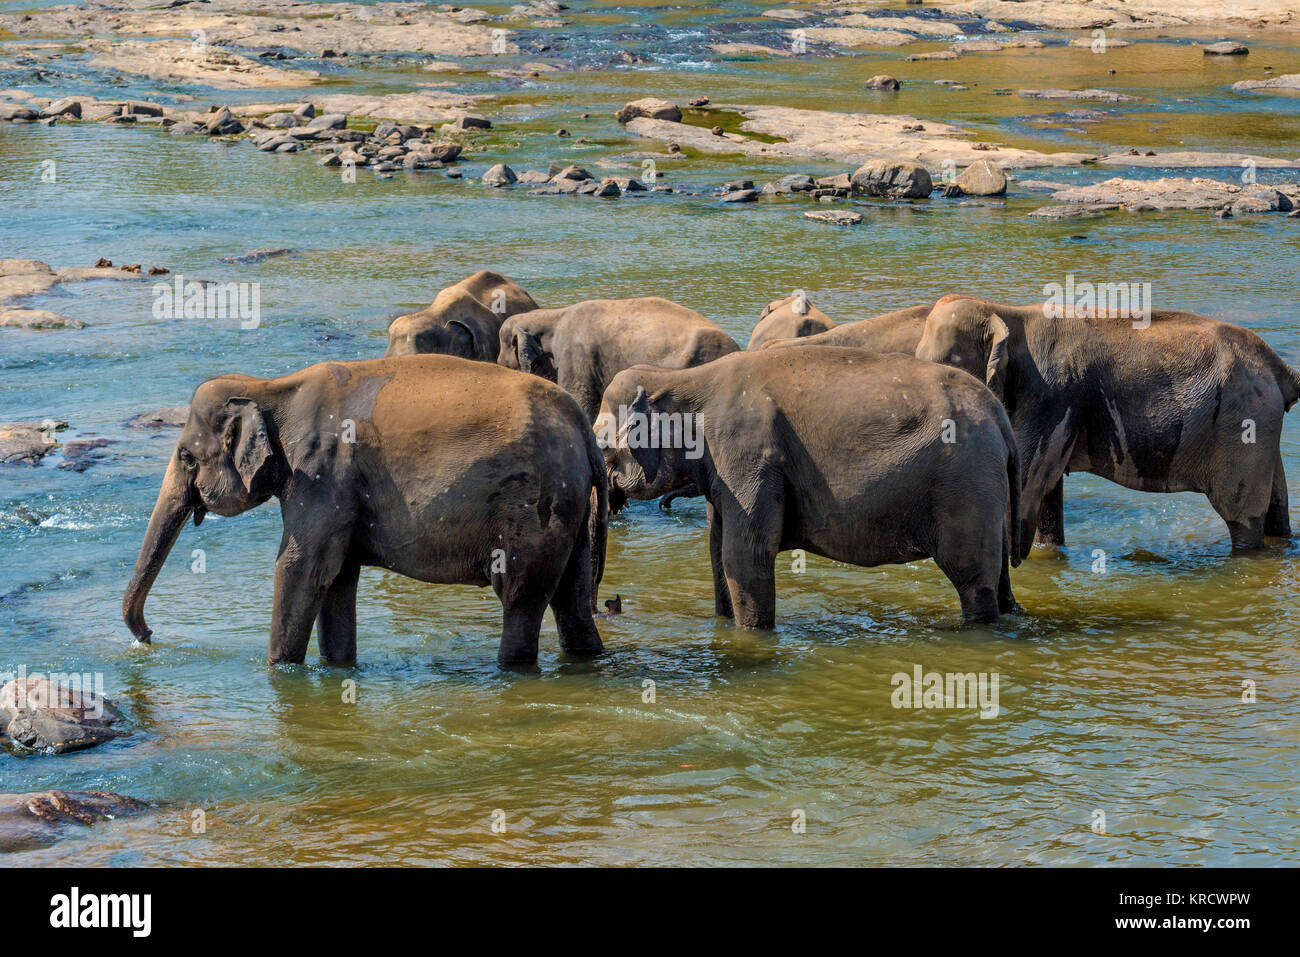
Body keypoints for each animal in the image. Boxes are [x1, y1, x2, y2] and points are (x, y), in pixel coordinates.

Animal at [122, 356, 607, 667]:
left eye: (186, 456)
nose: (148, 636)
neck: (271, 387)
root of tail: (583, 427)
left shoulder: (321, 473)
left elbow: (301, 568)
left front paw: (279, 669)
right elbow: (337, 578)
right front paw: (337, 667)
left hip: (535, 510)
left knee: (522, 599)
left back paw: (510, 668)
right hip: (570, 509)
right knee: (572, 600)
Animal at [598, 347, 1022, 626]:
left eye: (603, 447)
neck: (684, 379)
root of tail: (999, 416)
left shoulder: (746, 454)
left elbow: (746, 554)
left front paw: (751, 635)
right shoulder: (721, 471)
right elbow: (717, 550)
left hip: (965, 480)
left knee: (970, 574)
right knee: (999, 578)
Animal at [914, 294, 1300, 555]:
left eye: (948, 364)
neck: (1005, 310)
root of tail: (1279, 365)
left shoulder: (1051, 393)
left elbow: (1026, 489)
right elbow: (1046, 493)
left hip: (1242, 421)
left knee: (1240, 517)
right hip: (1261, 423)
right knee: (1276, 512)